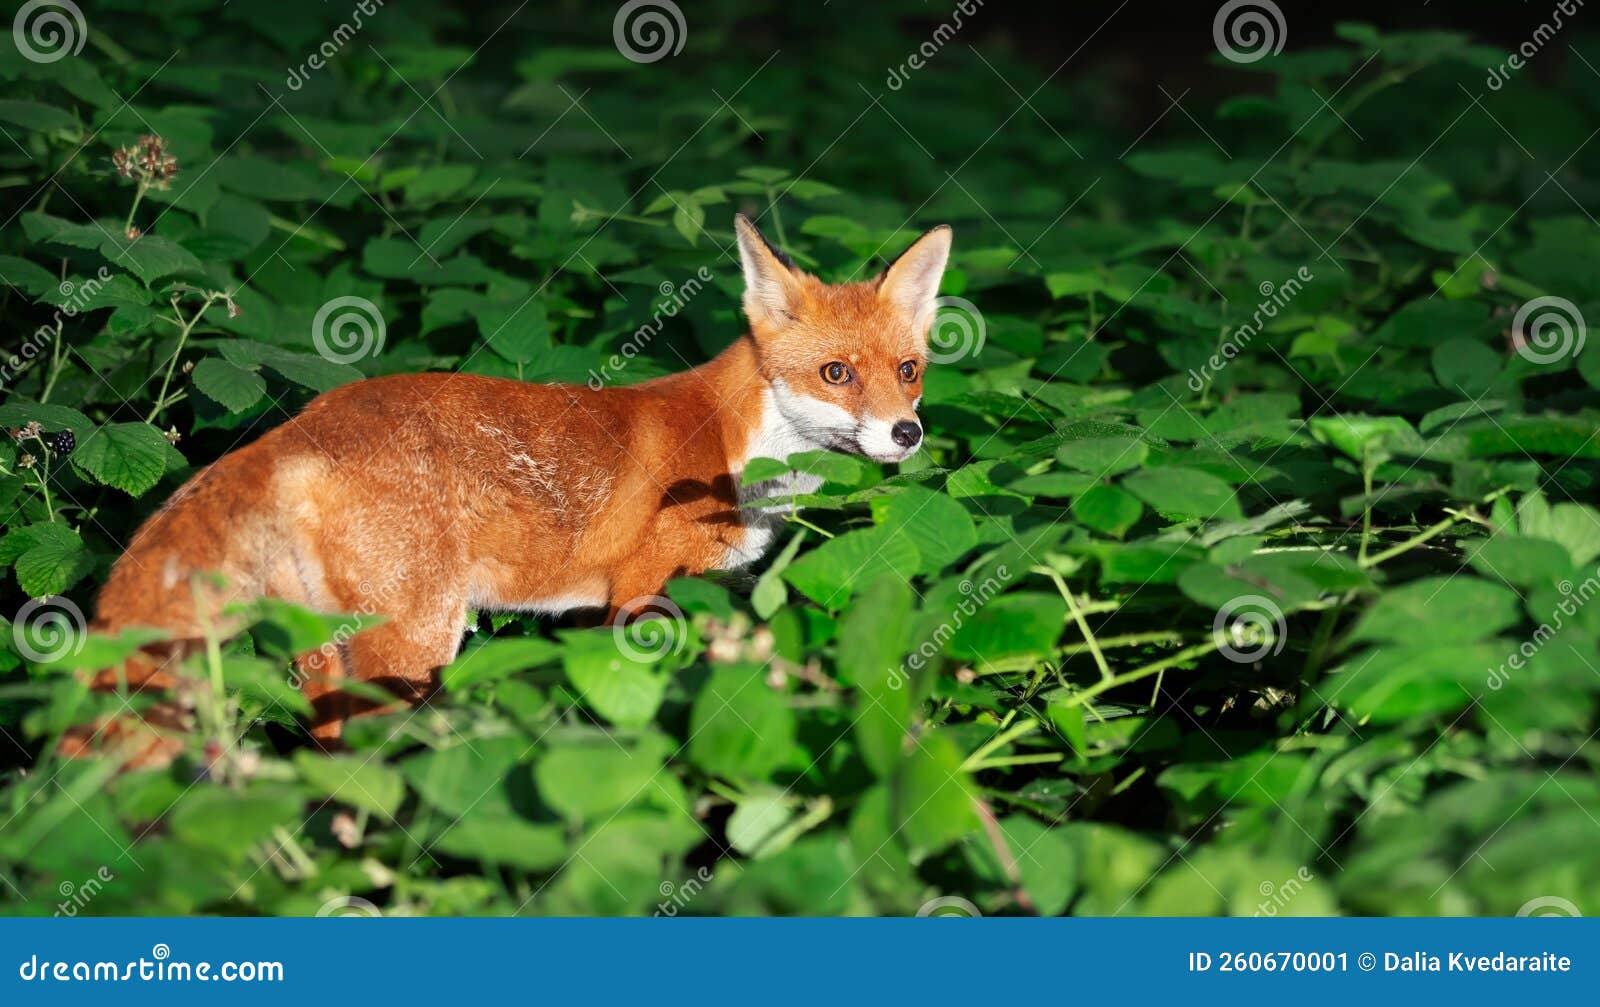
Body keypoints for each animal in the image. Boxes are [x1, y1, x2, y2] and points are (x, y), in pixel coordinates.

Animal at [71, 214, 952, 762]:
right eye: (836, 373)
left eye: (909, 370)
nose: (907, 433)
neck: (738, 445)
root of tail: (298, 425)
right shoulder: (642, 595)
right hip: (415, 646)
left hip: (325, 652)